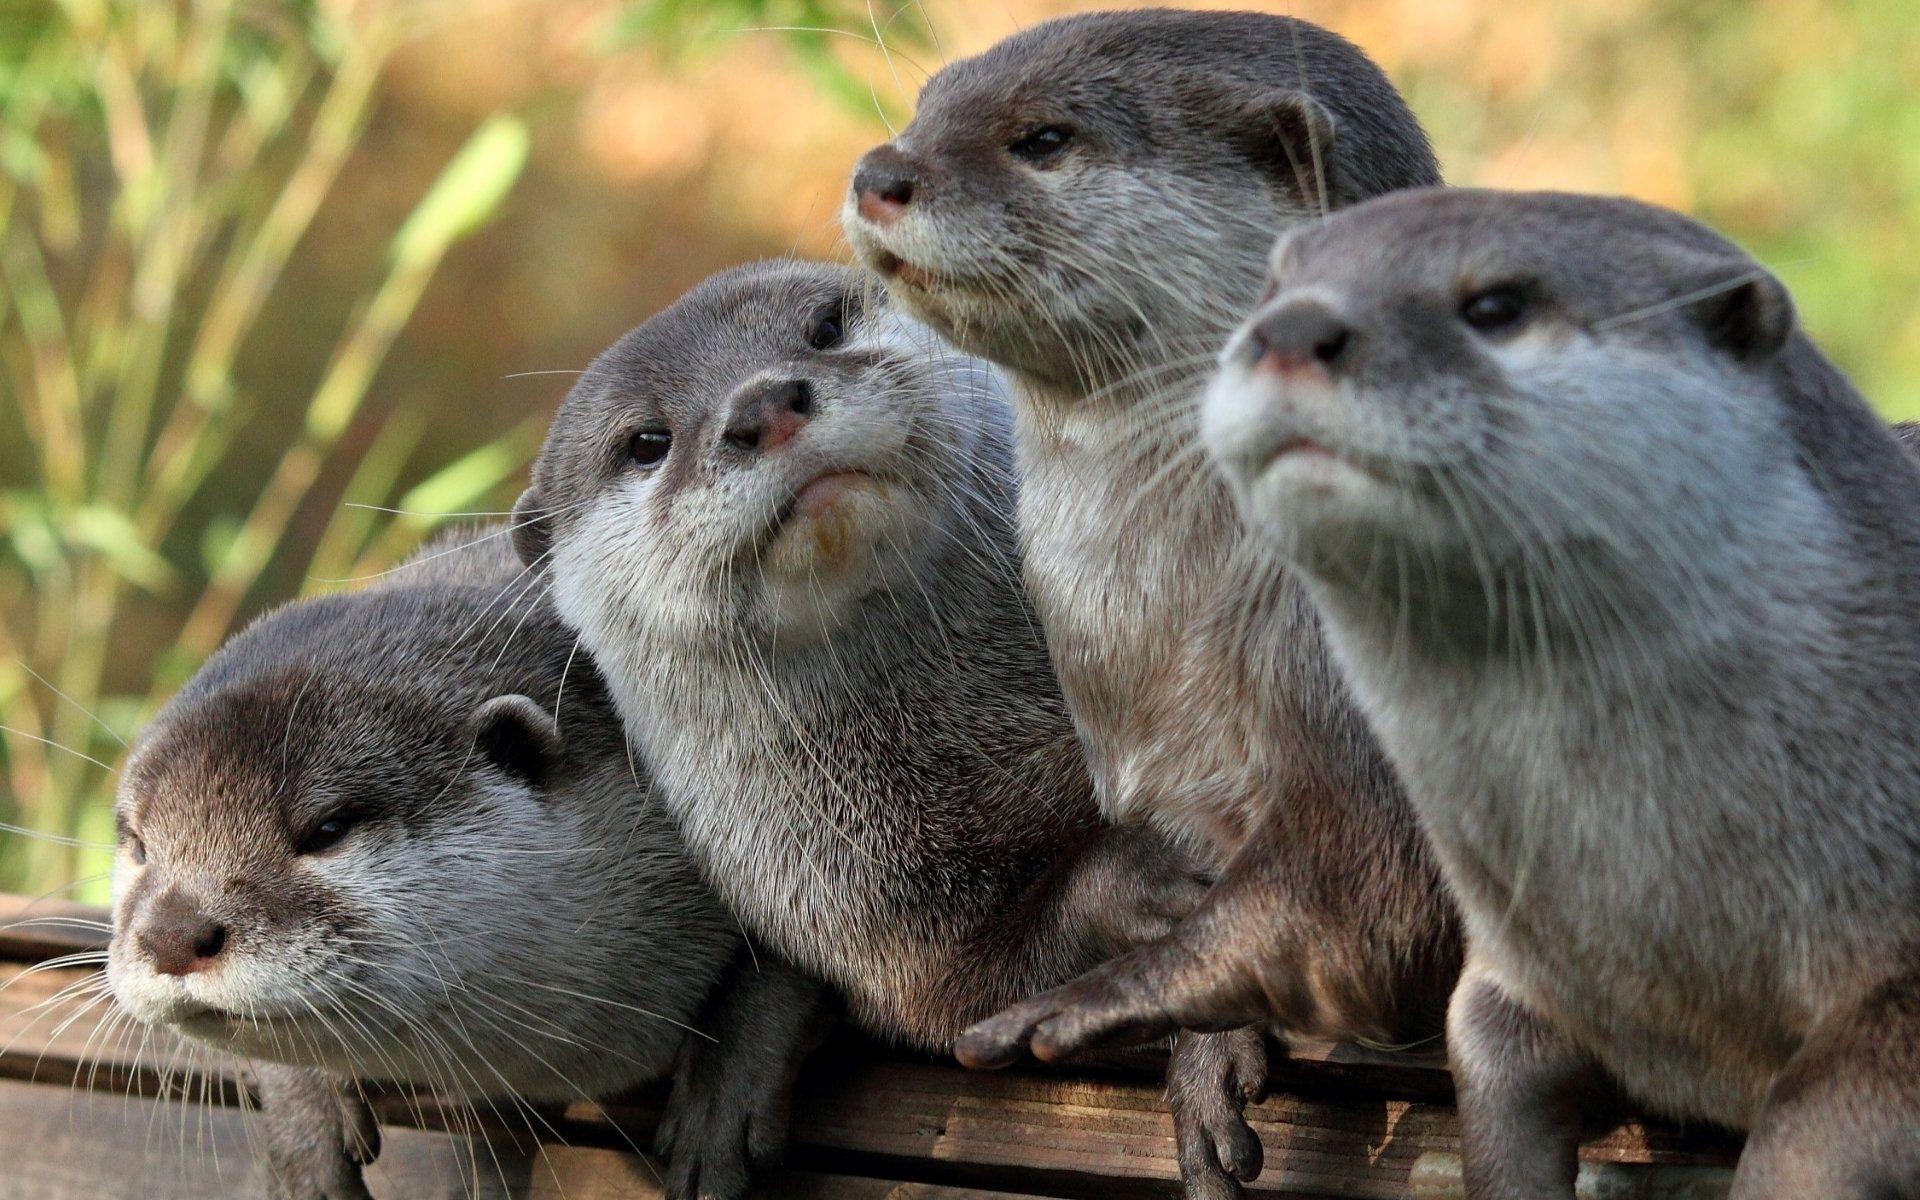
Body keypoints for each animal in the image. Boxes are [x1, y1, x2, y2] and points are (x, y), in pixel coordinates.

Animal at [512, 260, 1267, 1197]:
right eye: (645, 442)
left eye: (827, 326)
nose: (763, 404)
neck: (971, 746)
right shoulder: (872, 915)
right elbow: (973, 998)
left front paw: (1211, 1053)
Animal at [844, 6, 1461, 1087]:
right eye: (924, 105)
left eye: (1045, 138)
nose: (882, 168)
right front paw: (1208, 1063)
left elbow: (1368, 900)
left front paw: (1091, 1001)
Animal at [1203, 187, 1920, 1198]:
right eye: (1273, 284)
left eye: (1496, 306)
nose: (1291, 326)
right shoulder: (1517, 969)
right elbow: (1493, 1064)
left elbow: (1813, 1131)